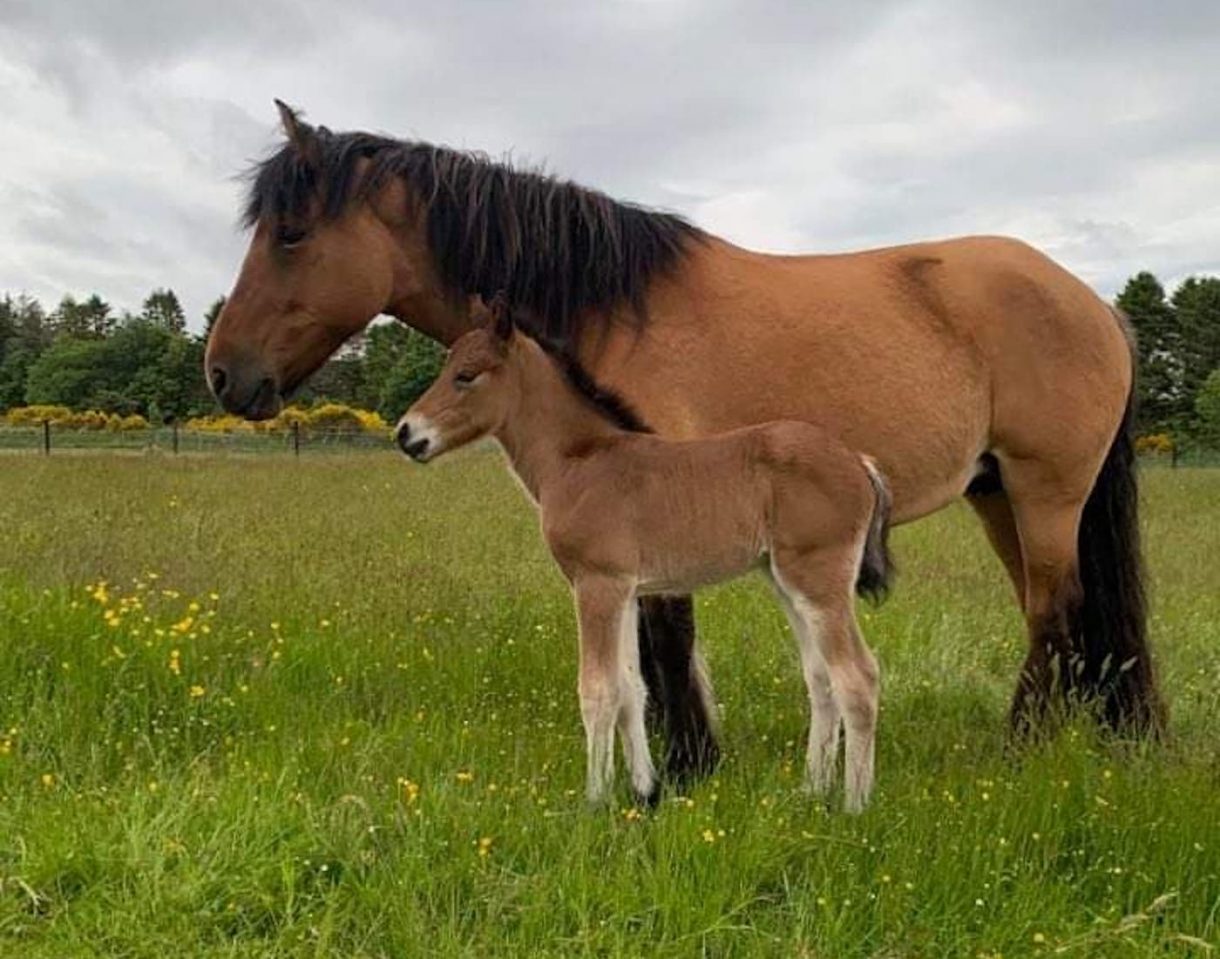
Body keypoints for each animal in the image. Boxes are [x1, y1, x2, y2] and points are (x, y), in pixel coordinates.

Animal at [397, 299, 893, 810]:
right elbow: (631, 690)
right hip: (786, 583)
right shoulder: (627, 590)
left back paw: (854, 805)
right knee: (820, 678)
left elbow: (598, 690)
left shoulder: (596, 585)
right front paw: (644, 790)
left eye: (466, 375)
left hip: (818, 580)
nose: (406, 434)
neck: (580, 461)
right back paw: (810, 789)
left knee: (857, 677)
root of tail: (859, 462)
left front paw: (595, 800)